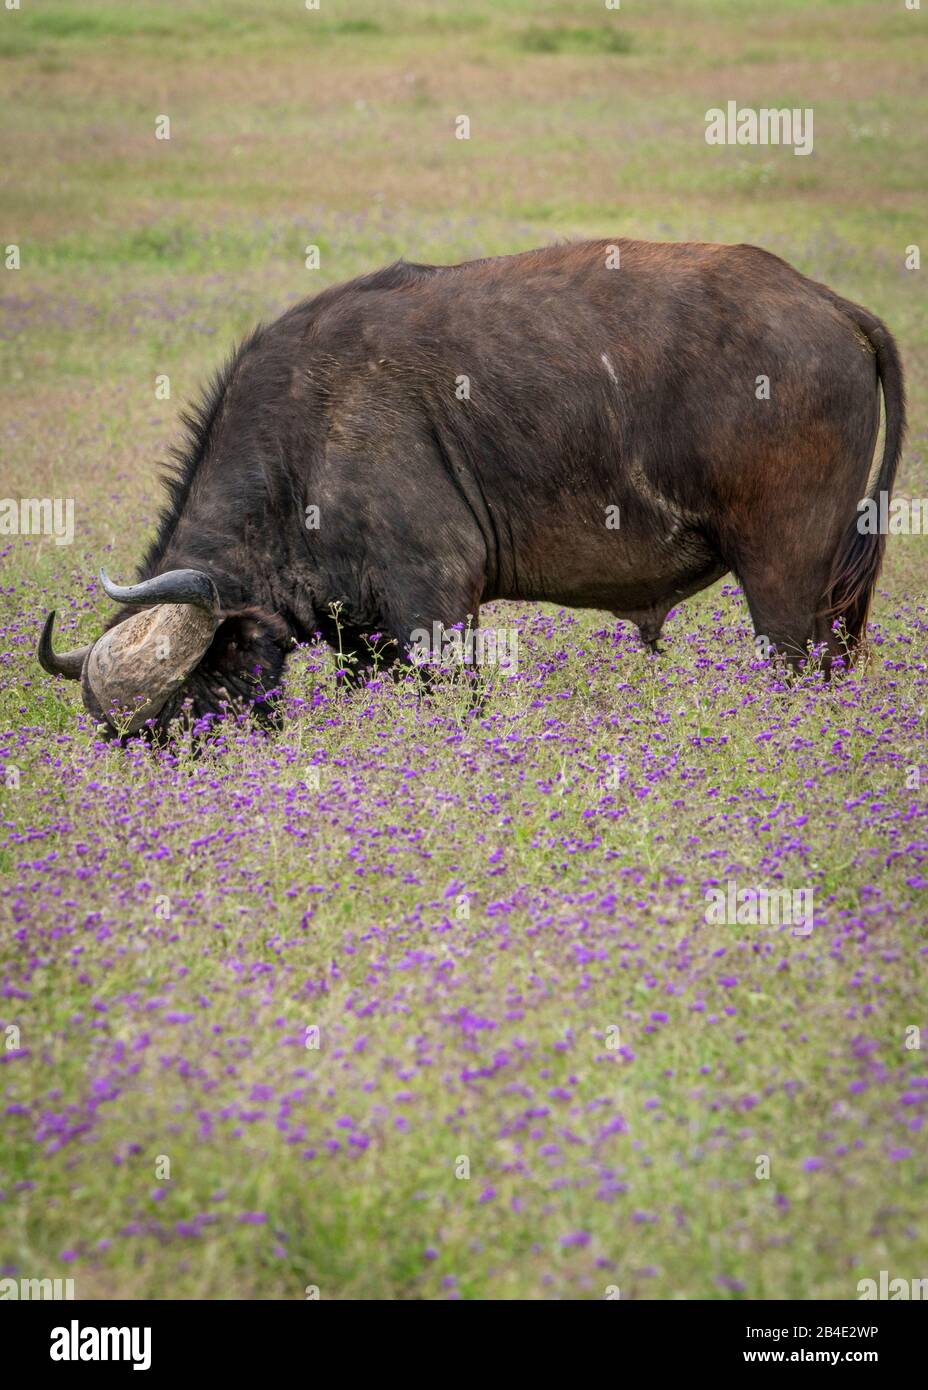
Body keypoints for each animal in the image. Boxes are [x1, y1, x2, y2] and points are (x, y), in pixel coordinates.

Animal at [38, 238, 905, 735]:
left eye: (186, 712)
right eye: (128, 738)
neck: (302, 441)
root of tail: (830, 304)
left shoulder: (437, 603)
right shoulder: (363, 636)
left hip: (785, 579)